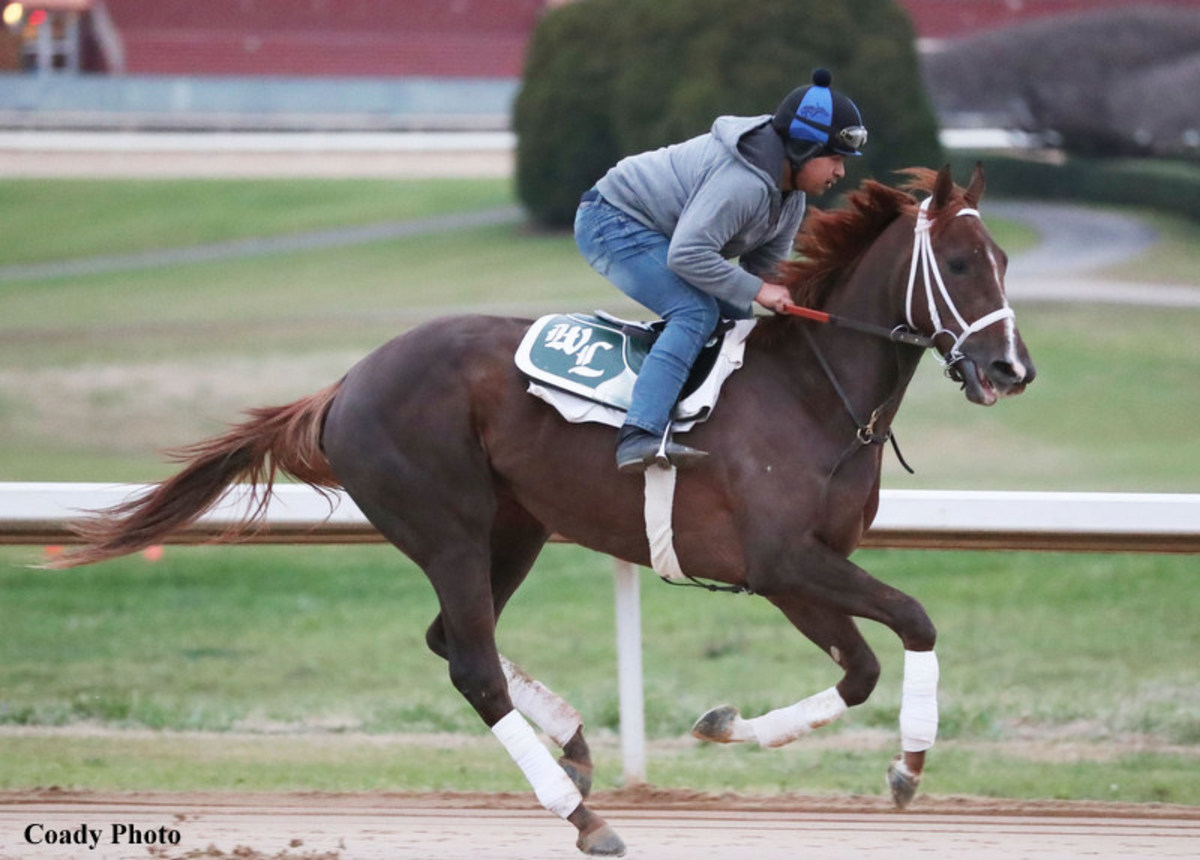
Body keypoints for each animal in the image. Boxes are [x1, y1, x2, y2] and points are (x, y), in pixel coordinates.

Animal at [55, 164, 1034, 856]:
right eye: (958, 264)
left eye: (1004, 262)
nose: (1012, 370)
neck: (812, 393)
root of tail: (347, 384)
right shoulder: (781, 560)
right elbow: (915, 617)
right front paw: (910, 763)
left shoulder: (794, 571)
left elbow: (862, 667)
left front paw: (730, 728)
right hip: (447, 528)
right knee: (471, 666)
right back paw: (582, 817)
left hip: (514, 528)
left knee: (452, 641)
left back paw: (571, 740)